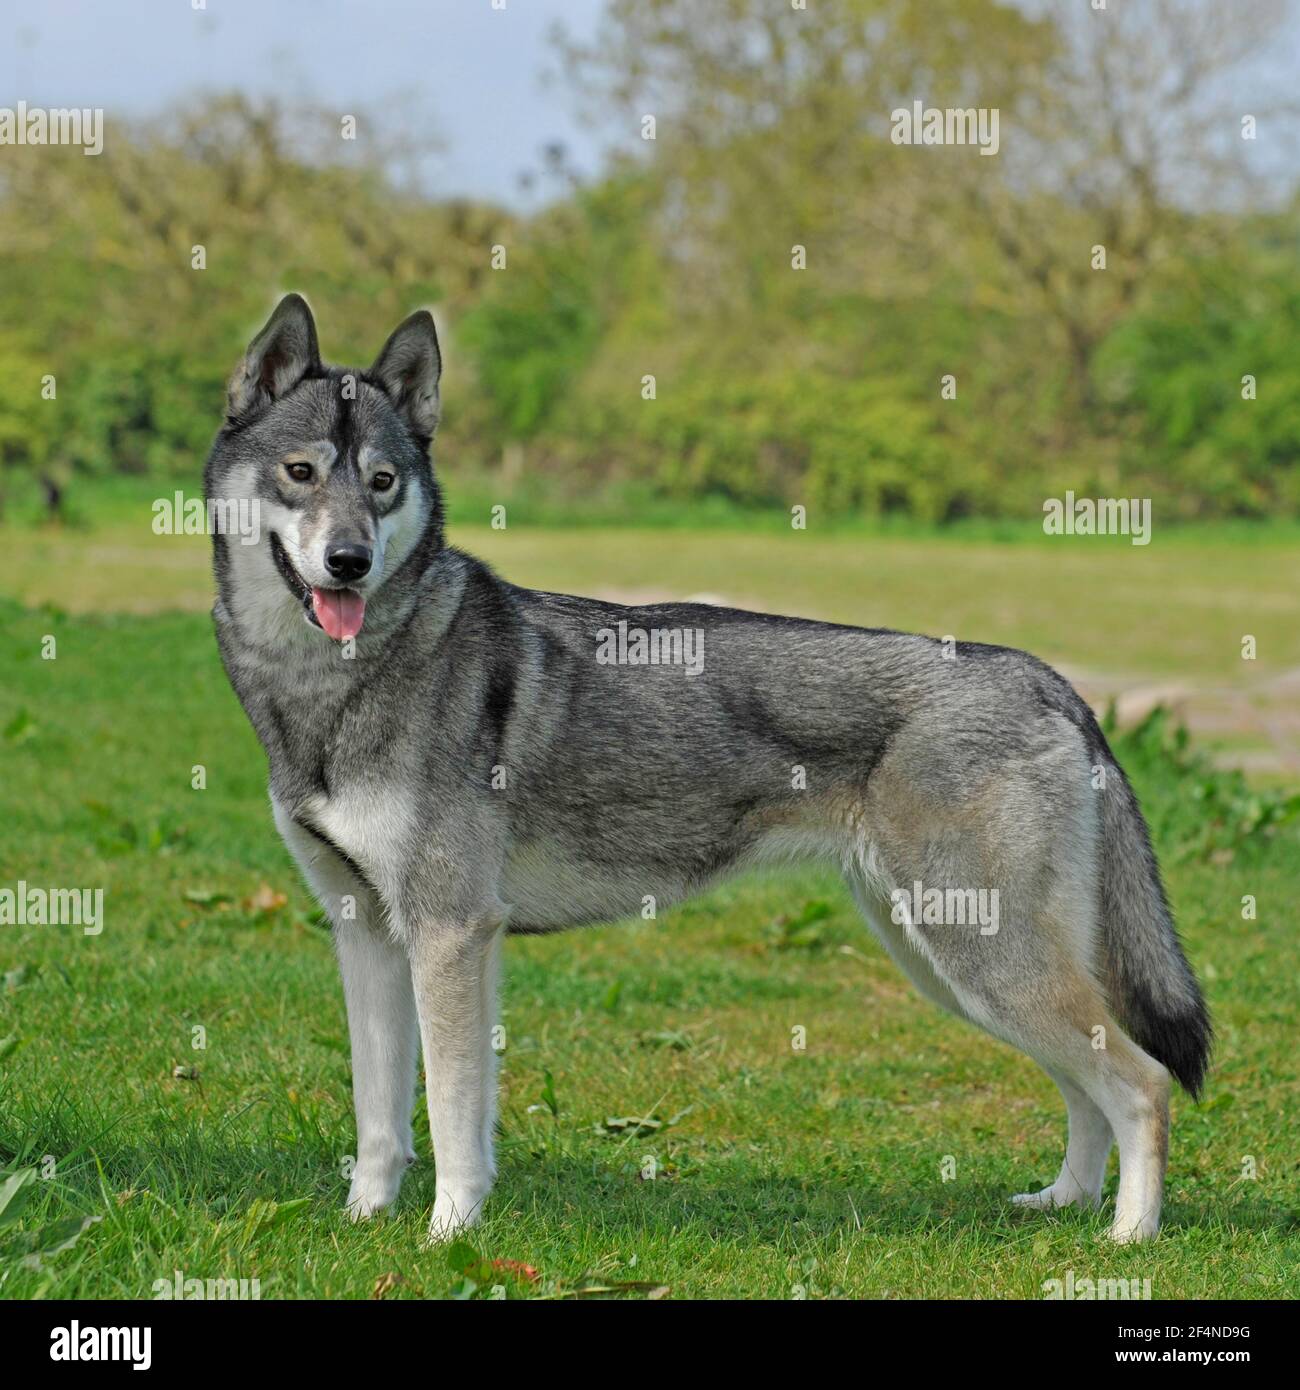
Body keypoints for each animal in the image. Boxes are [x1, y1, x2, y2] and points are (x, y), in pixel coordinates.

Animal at [205, 295, 1210, 1244]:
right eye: (301, 473)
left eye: (382, 483)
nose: (349, 561)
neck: (330, 686)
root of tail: (1051, 682)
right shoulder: (368, 933)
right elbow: (380, 1118)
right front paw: (363, 1223)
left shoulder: (451, 934)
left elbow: (454, 1121)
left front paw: (449, 1234)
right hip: (954, 962)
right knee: (1086, 1087)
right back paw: (1066, 1204)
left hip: (980, 956)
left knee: (1141, 1083)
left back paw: (1128, 1237)